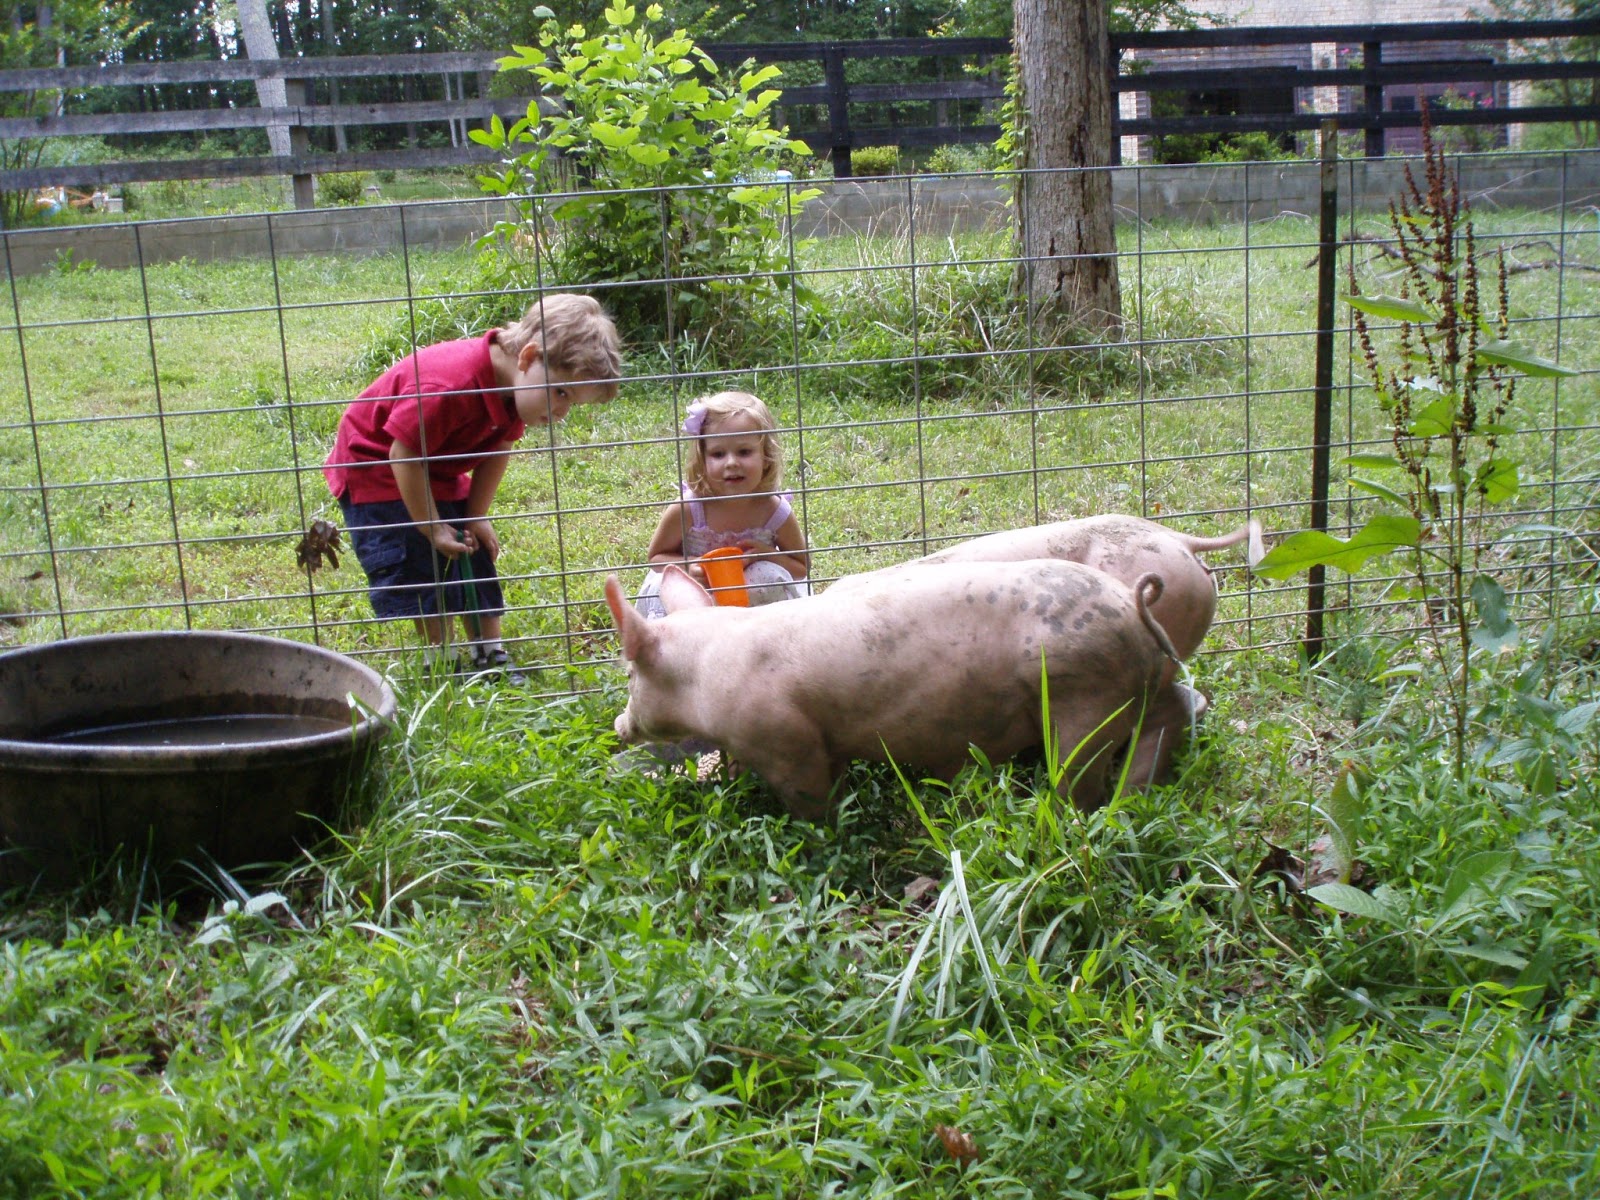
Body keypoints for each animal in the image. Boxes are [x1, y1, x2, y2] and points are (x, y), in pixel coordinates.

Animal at [605, 559, 1179, 821]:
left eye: (630, 675)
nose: (617, 726)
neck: (707, 668)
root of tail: (1134, 606)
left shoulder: (785, 739)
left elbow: (811, 796)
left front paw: (821, 829)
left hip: (1084, 699)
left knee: (1081, 777)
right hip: (1145, 688)